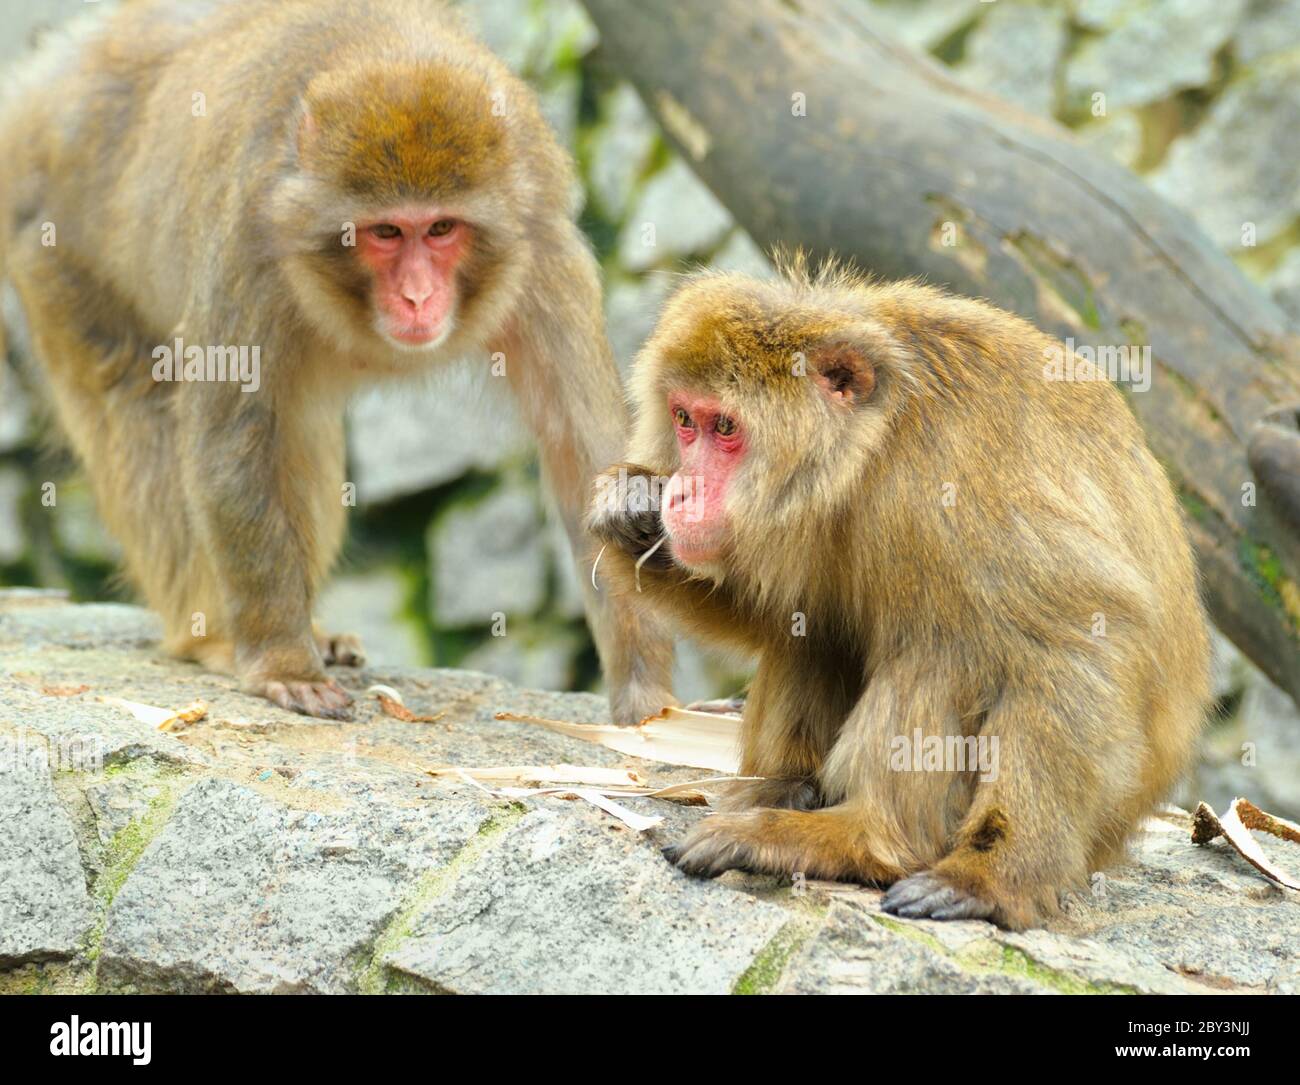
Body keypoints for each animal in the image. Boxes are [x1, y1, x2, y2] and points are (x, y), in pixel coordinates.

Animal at [0, 0, 675, 722]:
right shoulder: (249, 240)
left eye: (442, 228)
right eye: (386, 232)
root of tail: (45, 85)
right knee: (137, 399)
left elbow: (581, 452)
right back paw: (212, 634)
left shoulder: (541, 241)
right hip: (53, 251)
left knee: (302, 435)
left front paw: (648, 698)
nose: (417, 296)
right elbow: (228, 445)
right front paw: (280, 661)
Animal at [588, 258, 1211, 930]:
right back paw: (791, 789)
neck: (875, 448)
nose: (682, 492)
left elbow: (1078, 639)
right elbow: (779, 610)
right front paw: (627, 502)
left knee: (943, 650)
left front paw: (993, 878)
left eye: (725, 427)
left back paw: (858, 841)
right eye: (684, 419)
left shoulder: (959, 478)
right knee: (817, 629)